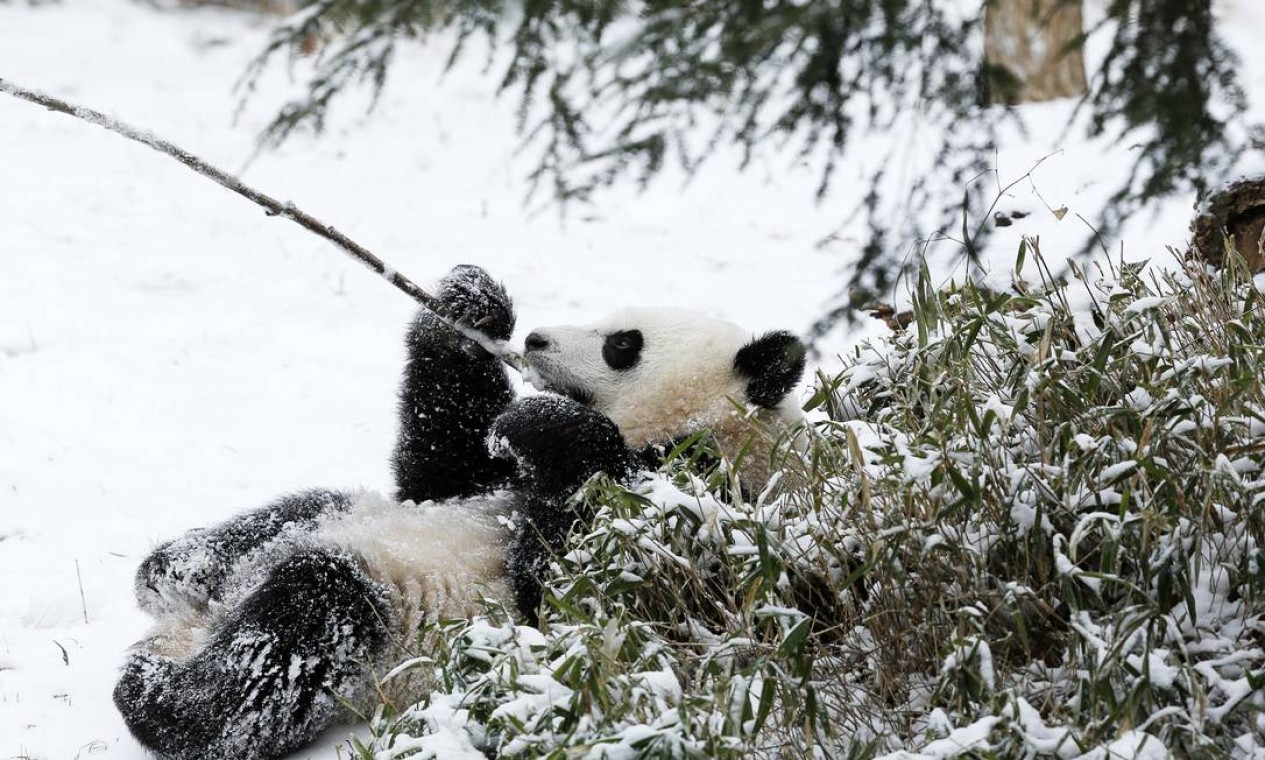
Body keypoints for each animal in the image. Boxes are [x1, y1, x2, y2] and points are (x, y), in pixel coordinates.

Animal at [112, 265, 807, 760]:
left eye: (622, 345)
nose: (535, 339)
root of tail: (193, 628)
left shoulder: (705, 509)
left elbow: (576, 578)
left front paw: (541, 420)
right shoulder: (480, 483)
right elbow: (443, 463)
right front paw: (469, 306)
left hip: (384, 635)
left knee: (298, 631)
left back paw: (157, 694)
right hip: (334, 520)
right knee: (292, 515)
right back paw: (173, 570)